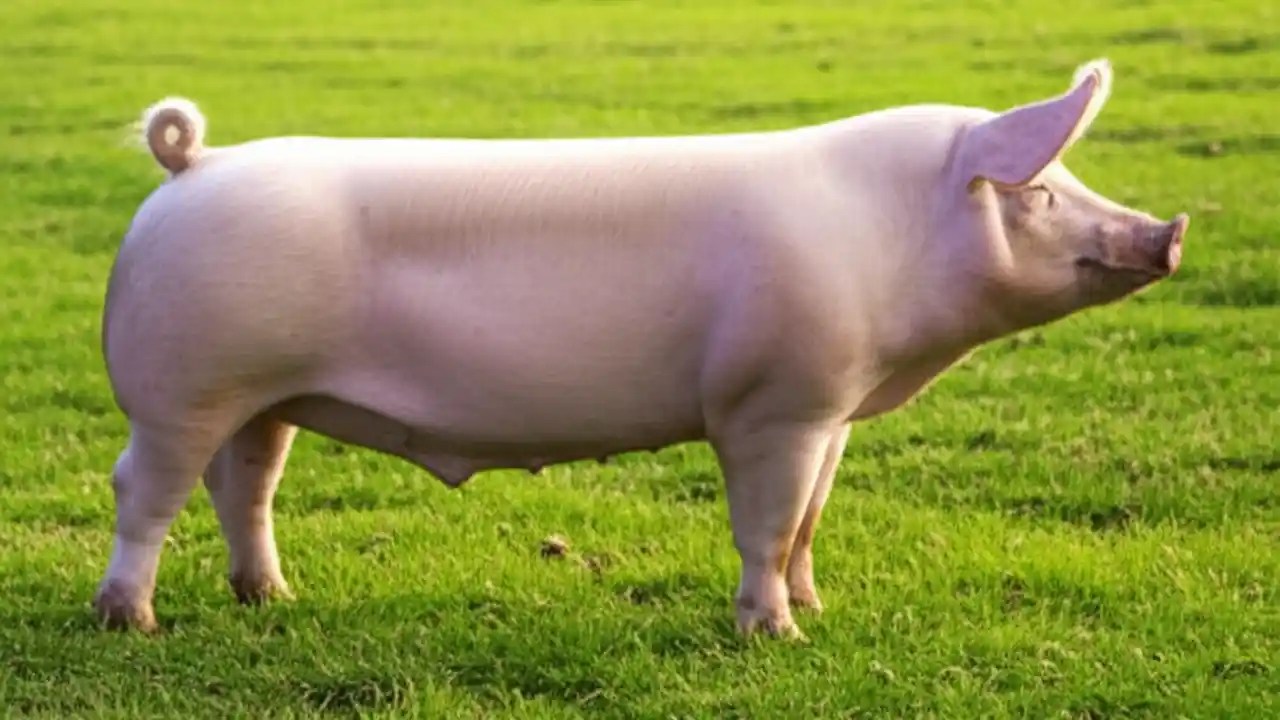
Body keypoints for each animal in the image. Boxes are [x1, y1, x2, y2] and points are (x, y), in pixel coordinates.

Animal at [94, 58, 1187, 638]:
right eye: (1037, 192)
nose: (1167, 232)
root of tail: (194, 164)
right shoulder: (770, 405)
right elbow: (766, 524)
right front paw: (777, 636)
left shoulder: (830, 406)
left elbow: (808, 524)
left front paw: (817, 605)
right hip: (181, 385)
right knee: (144, 491)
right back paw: (131, 620)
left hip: (259, 395)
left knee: (244, 487)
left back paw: (271, 597)